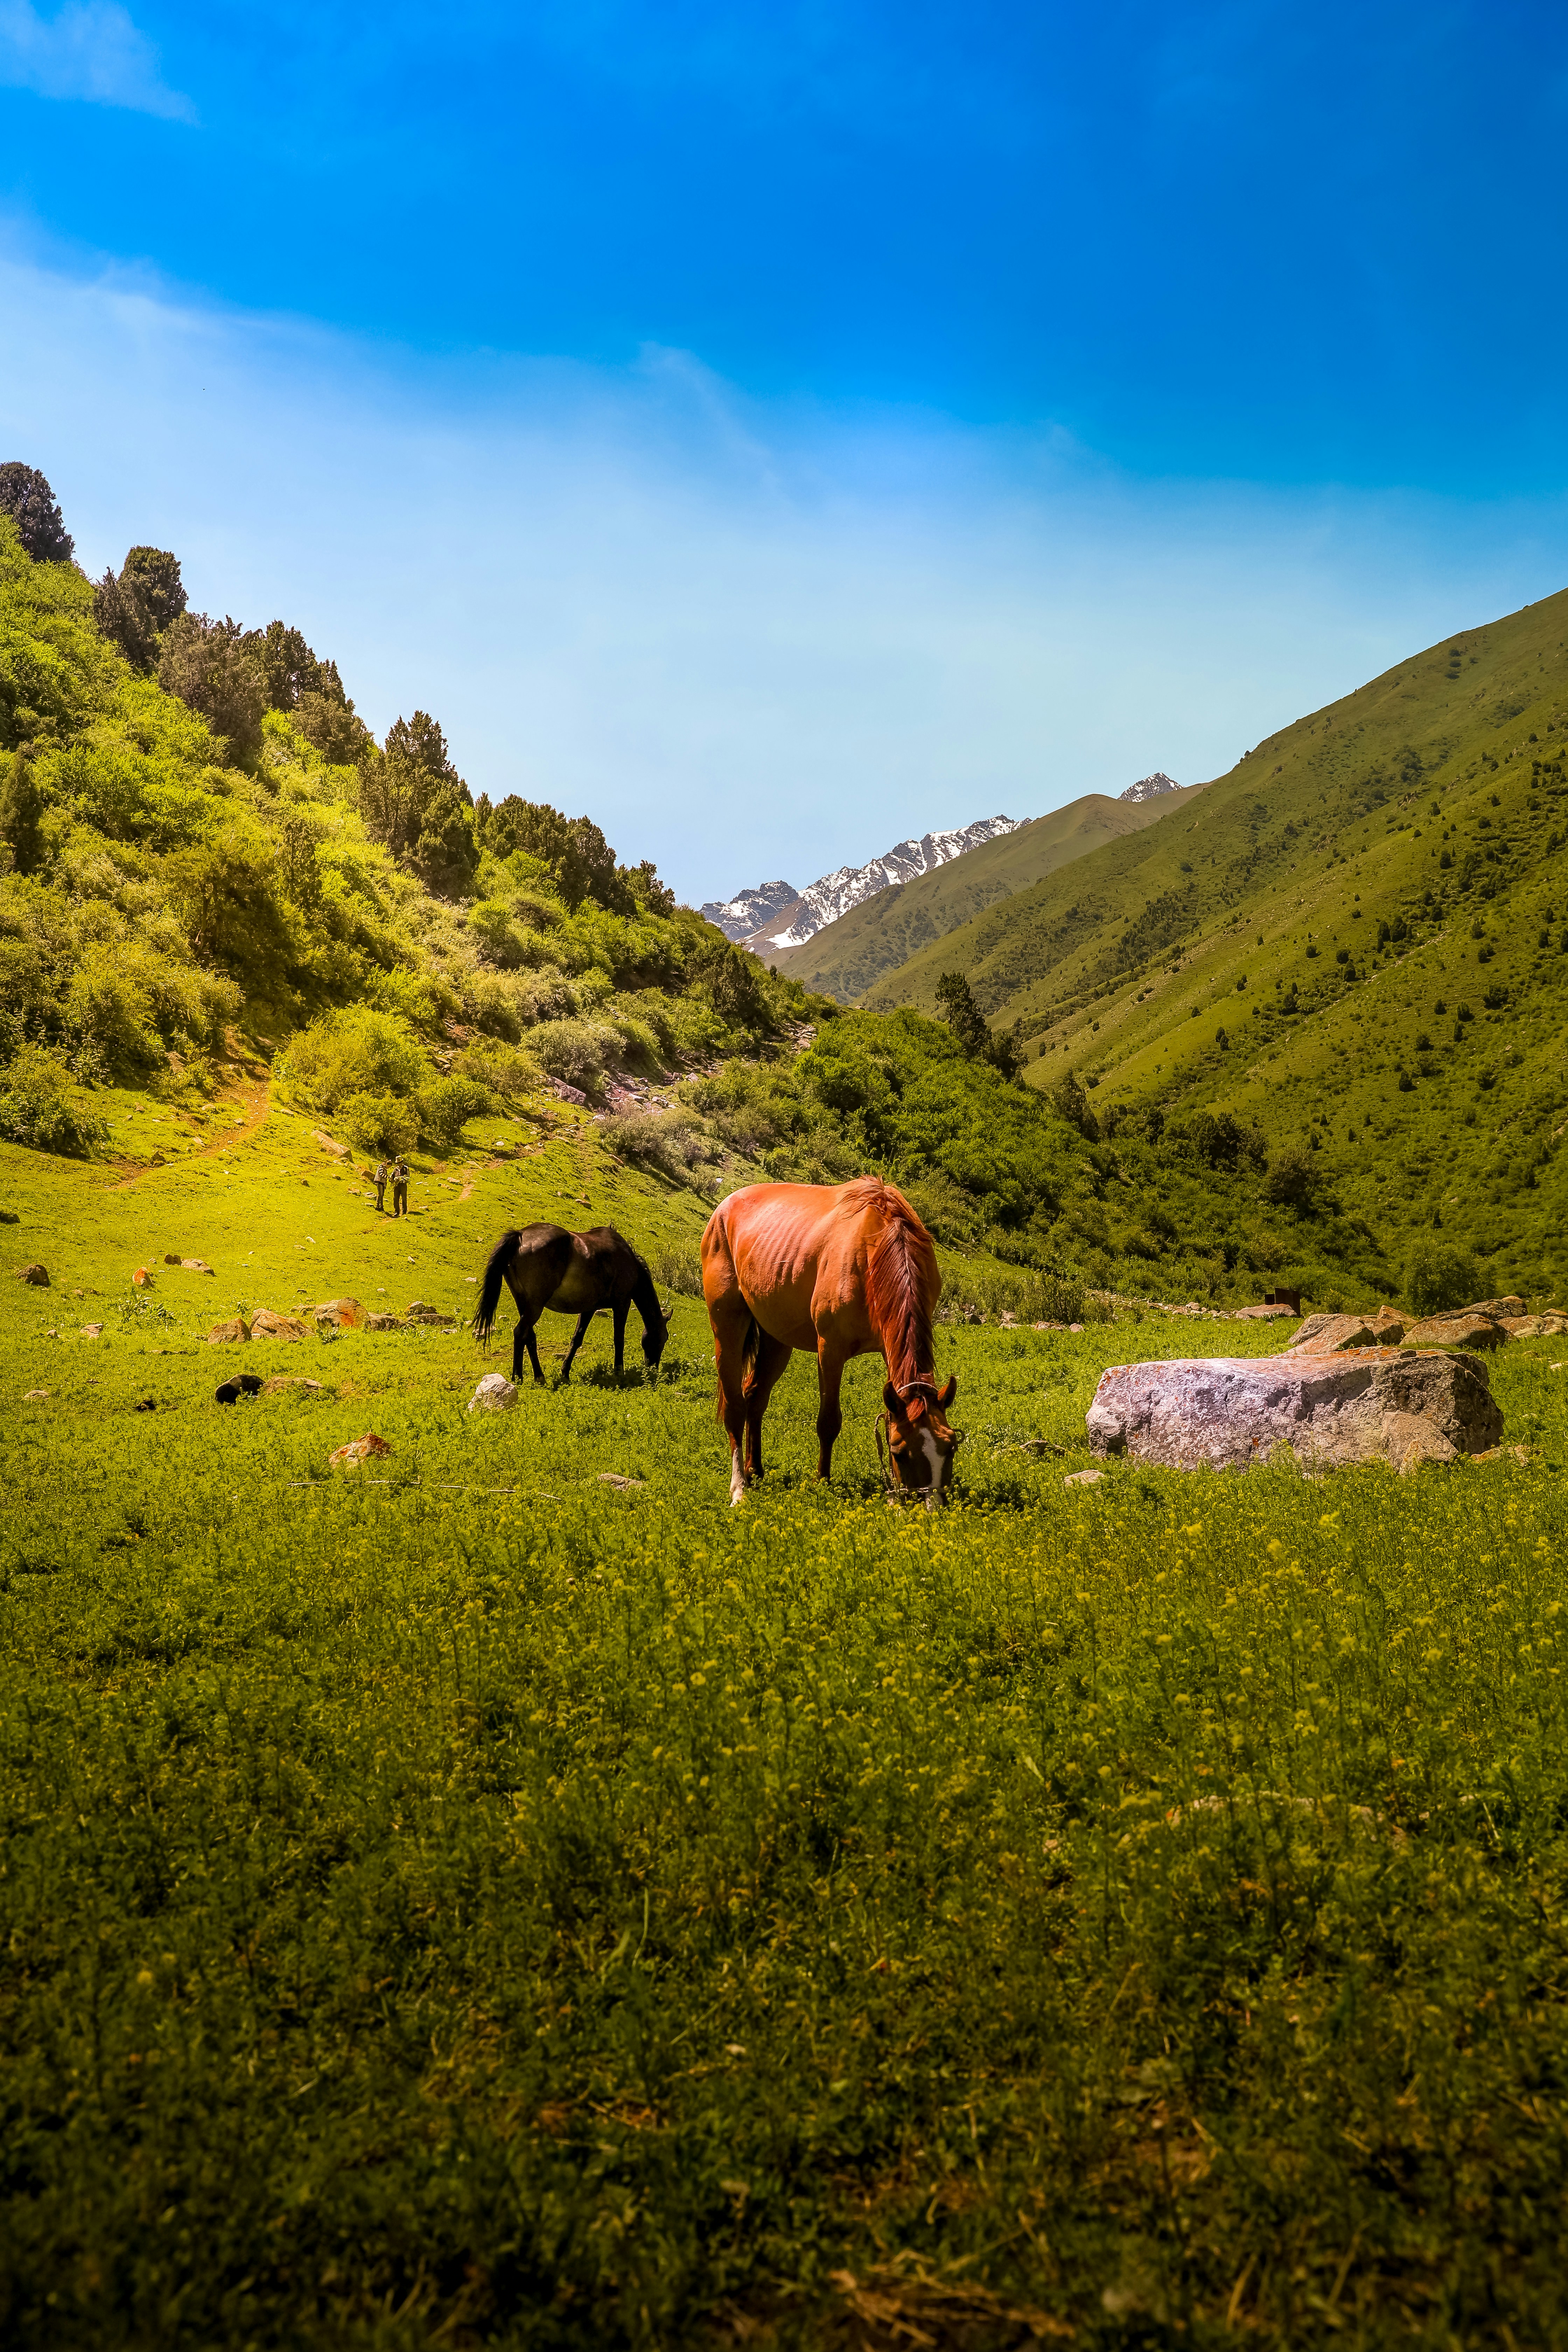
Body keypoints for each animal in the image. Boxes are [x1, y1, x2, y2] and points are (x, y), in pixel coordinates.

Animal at [473, 1224, 672, 1385]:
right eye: (663, 1338)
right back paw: (518, 1376)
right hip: (535, 1308)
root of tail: (520, 1235)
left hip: (525, 1305)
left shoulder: (589, 1308)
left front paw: (565, 1372)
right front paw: (619, 1372)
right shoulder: (622, 1304)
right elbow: (619, 1339)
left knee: (529, 1337)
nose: (653, 1366)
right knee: (520, 1333)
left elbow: (577, 1339)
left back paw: (539, 1376)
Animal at [701, 1175, 959, 1507]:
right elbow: (828, 1422)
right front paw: (822, 1481)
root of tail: (723, 1208)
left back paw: (754, 1470)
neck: (876, 1244)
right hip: (728, 1327)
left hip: (776, 1337)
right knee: (735, 1407)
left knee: (755, 1397)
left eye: (951, 1446)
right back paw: (740, 1487)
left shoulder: (889, 1347)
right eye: (899, 1452)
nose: (932, 1507)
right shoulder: (830, 1351)